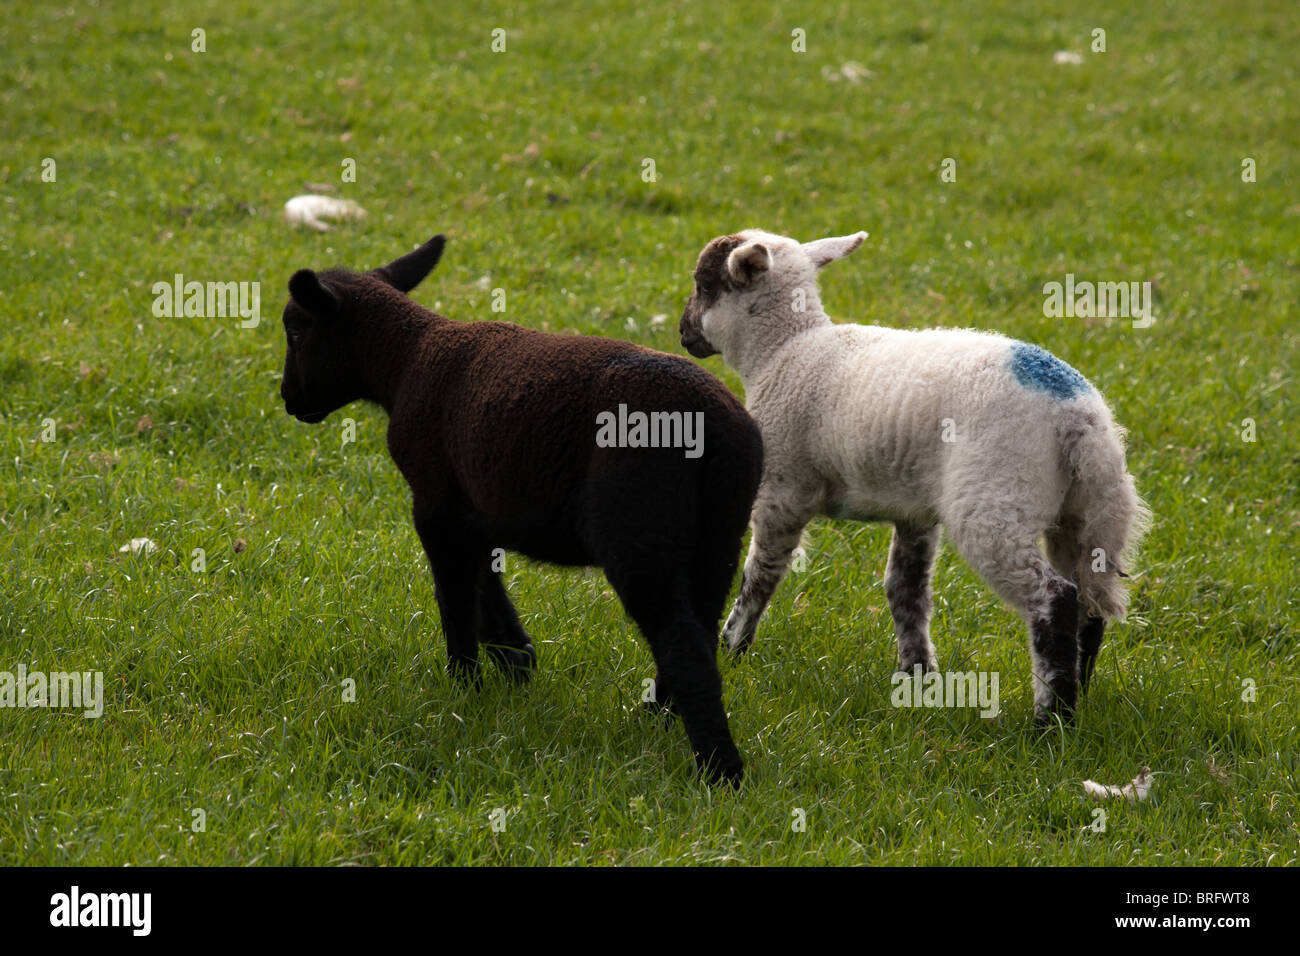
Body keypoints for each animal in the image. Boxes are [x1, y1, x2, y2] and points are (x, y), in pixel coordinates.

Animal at [278, 234, 763, 785]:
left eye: (297, 330)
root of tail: (718, 432)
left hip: (638, 531)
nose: (288, 398)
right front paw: (517, 666)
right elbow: (486, 588)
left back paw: (720, 772)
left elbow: (455, 600)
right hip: (718, 536)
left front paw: (463, 688)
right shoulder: (474, 510)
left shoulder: (435, 506)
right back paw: (654, 719)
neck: (403, 362)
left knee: (683, 647)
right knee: (698, 630)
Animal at [678, 229, 1148, 722]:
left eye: (704, 285)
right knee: (1090, 601)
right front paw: (918, 675)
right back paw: (1078, 692)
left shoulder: (782, 490)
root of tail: (1078, 415)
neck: (786, 349)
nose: (682, 332)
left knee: (1054, 598)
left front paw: (733, 648)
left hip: (996, 500)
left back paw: (1050, 720)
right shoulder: (915, 514)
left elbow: (760, 575)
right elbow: (906, 591)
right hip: (1087, 510)